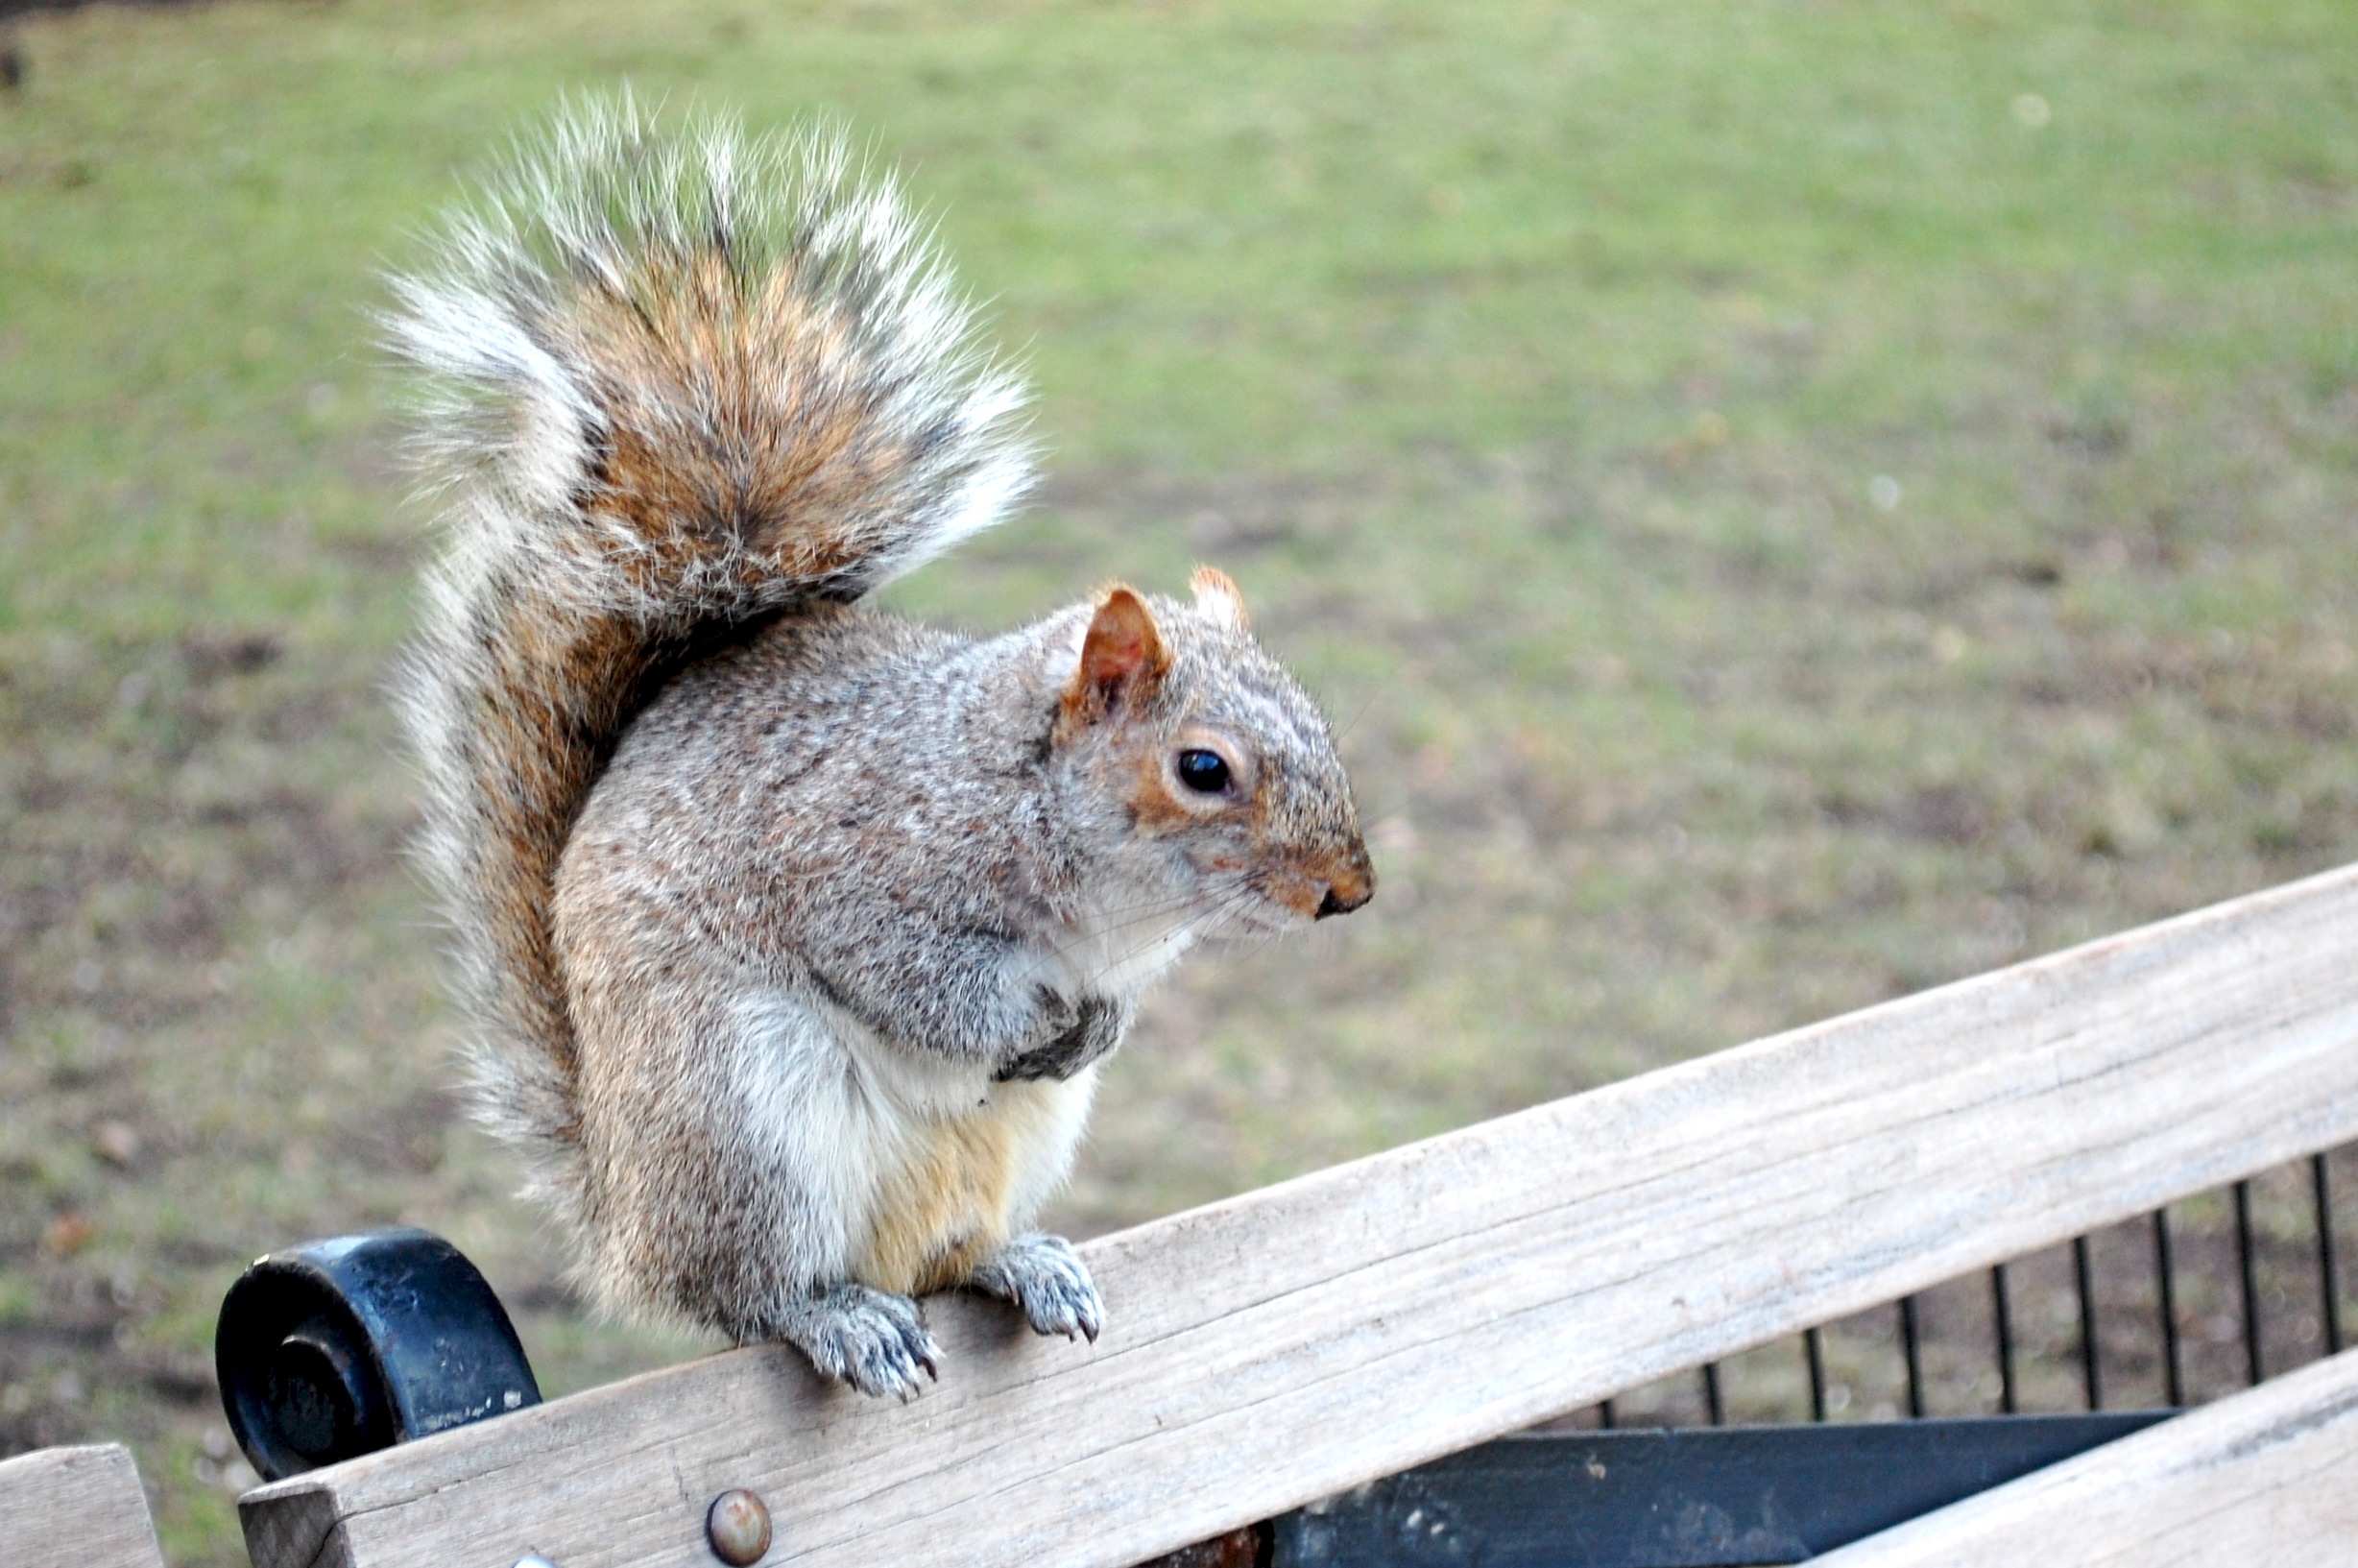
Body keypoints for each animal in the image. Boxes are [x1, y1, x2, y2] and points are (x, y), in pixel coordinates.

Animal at [385, 103, 1374, 1400]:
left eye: (1312, 713)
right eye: (1202, 769)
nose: (1350, 890)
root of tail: (620, 1209)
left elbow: (1098, 1008)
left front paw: (1094, 1029)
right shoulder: (863, 875)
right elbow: (925, 986)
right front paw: (1026, 1021)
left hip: (1008, 1142)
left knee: (944, 1256)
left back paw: (1022, 1260)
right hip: (742, 1119)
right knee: (751, 1294)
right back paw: (838, 1316)